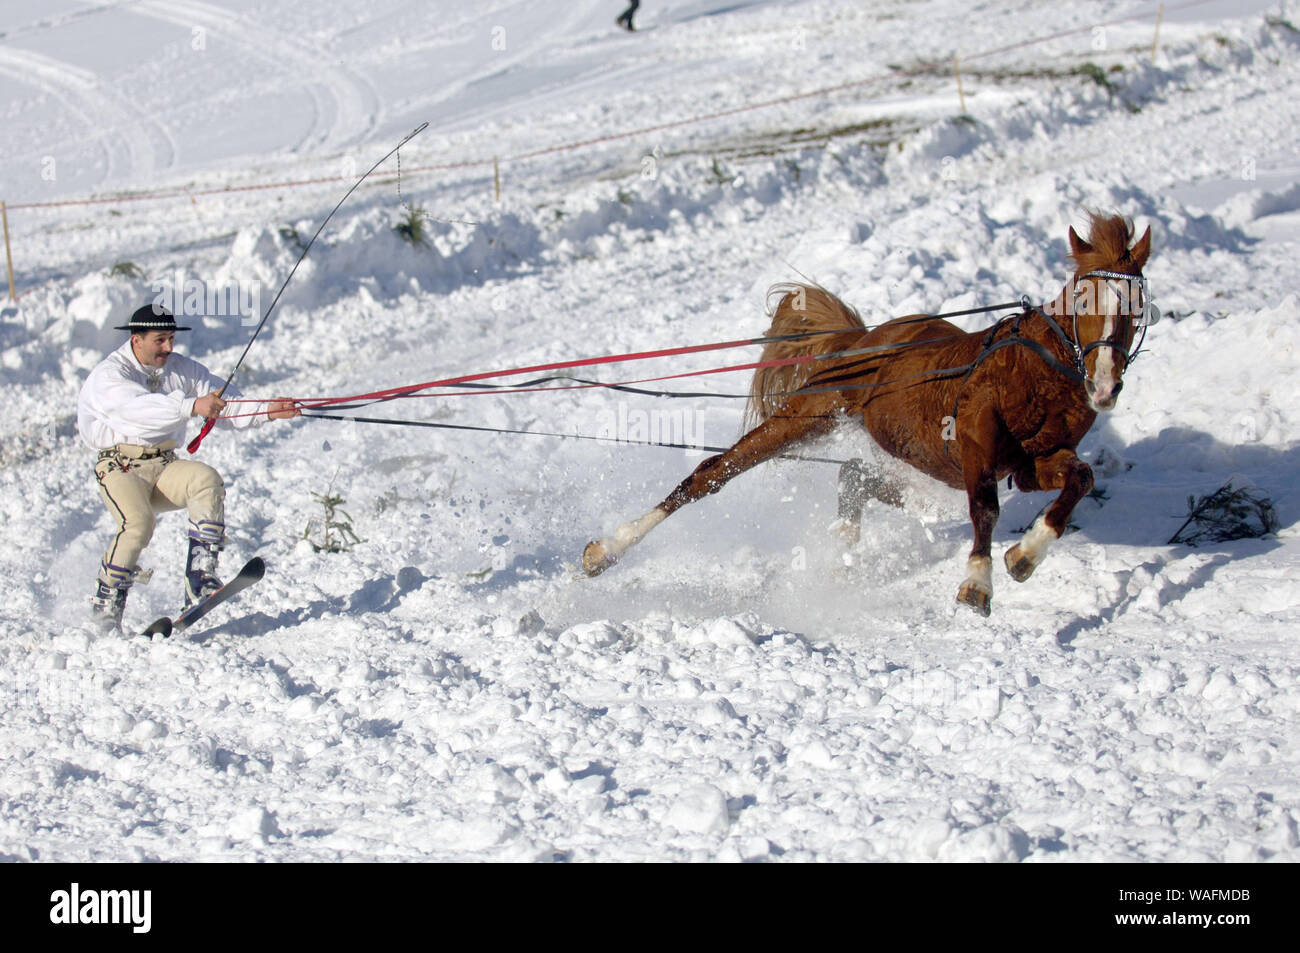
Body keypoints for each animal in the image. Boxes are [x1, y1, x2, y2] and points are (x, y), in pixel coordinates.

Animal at [582, 212, 1156, 615]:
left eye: (1136, 306)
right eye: (1082, 299)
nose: (1105, 385)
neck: (1031, 373)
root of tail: (864, 341)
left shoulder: (1030, 463)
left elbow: (1079, 479)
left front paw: (1025, 556)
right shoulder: (975, 443)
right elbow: (986, 510)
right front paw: (977, 583)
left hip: (914, 458)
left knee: (854, 476)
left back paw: (840, 561)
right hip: (806, 418)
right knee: (709, 475)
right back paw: (605, 550)